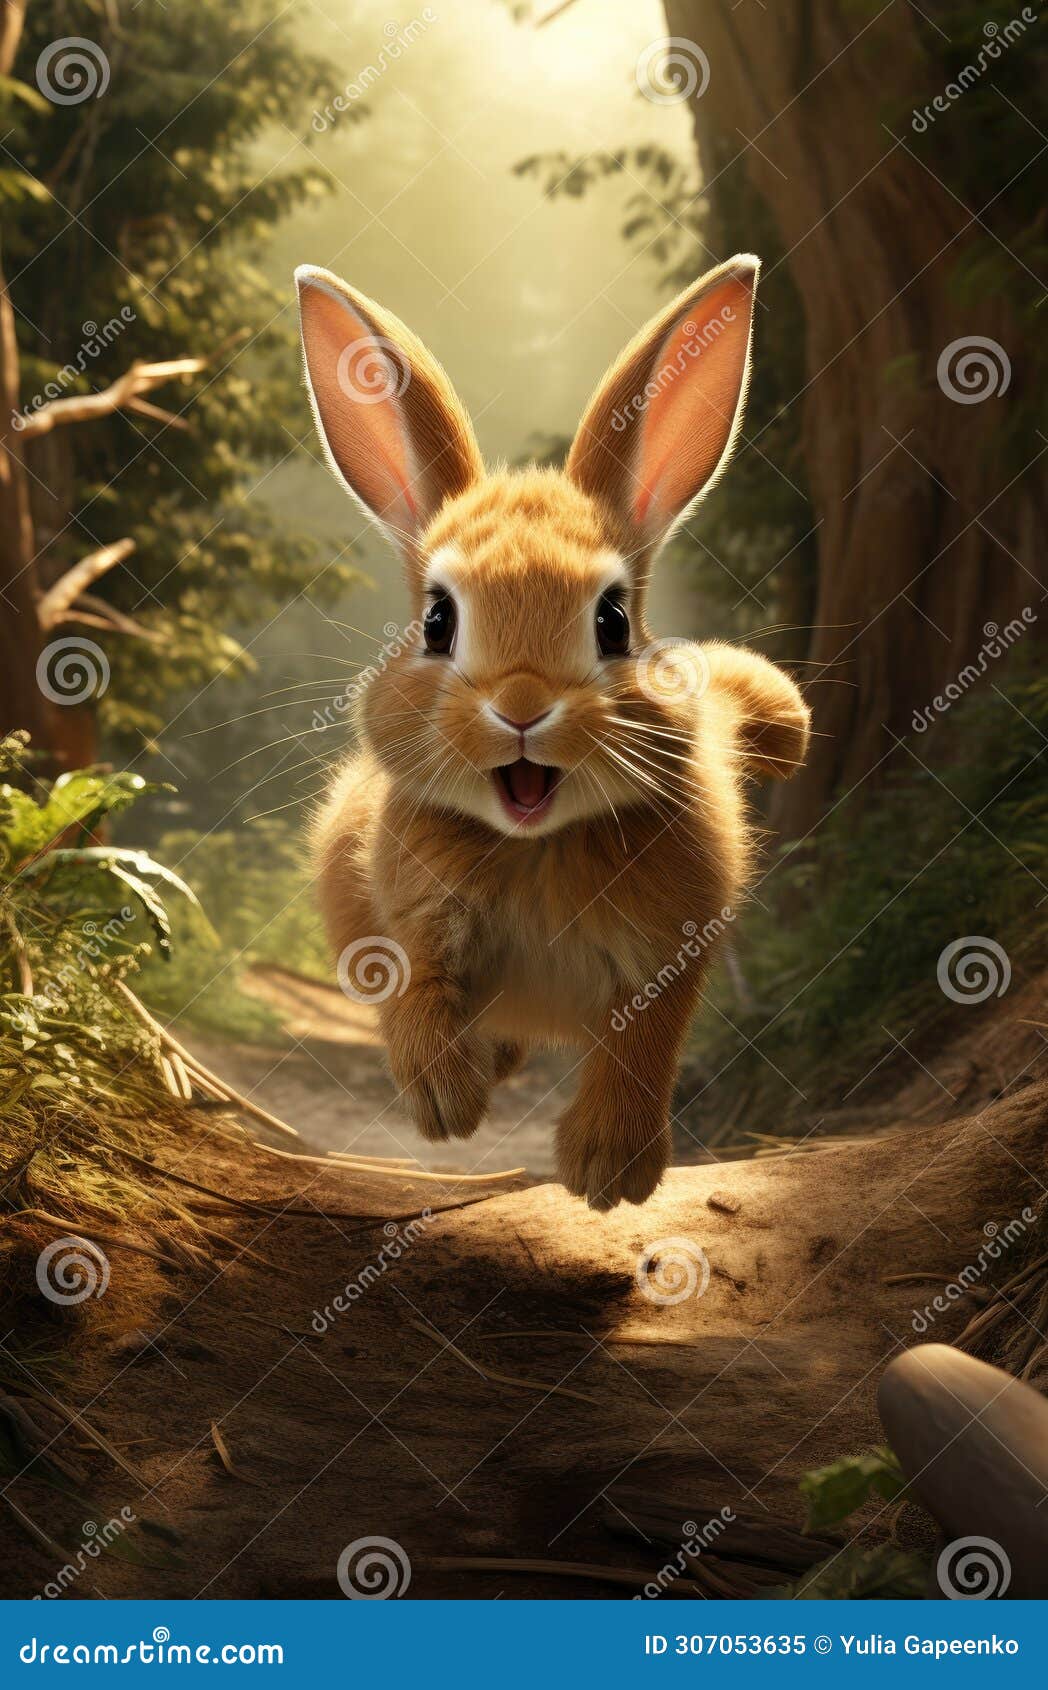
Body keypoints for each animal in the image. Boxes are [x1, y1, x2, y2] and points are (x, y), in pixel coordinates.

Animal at [296, 253, 810, 1210]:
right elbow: (415, 991)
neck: (535, 845)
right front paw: (446, 1106)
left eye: (612, 621)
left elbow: (641, 1046)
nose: (524, 705)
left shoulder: (668, 955)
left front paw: (608, 1172)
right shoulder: (409, 923)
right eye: (438, 621)